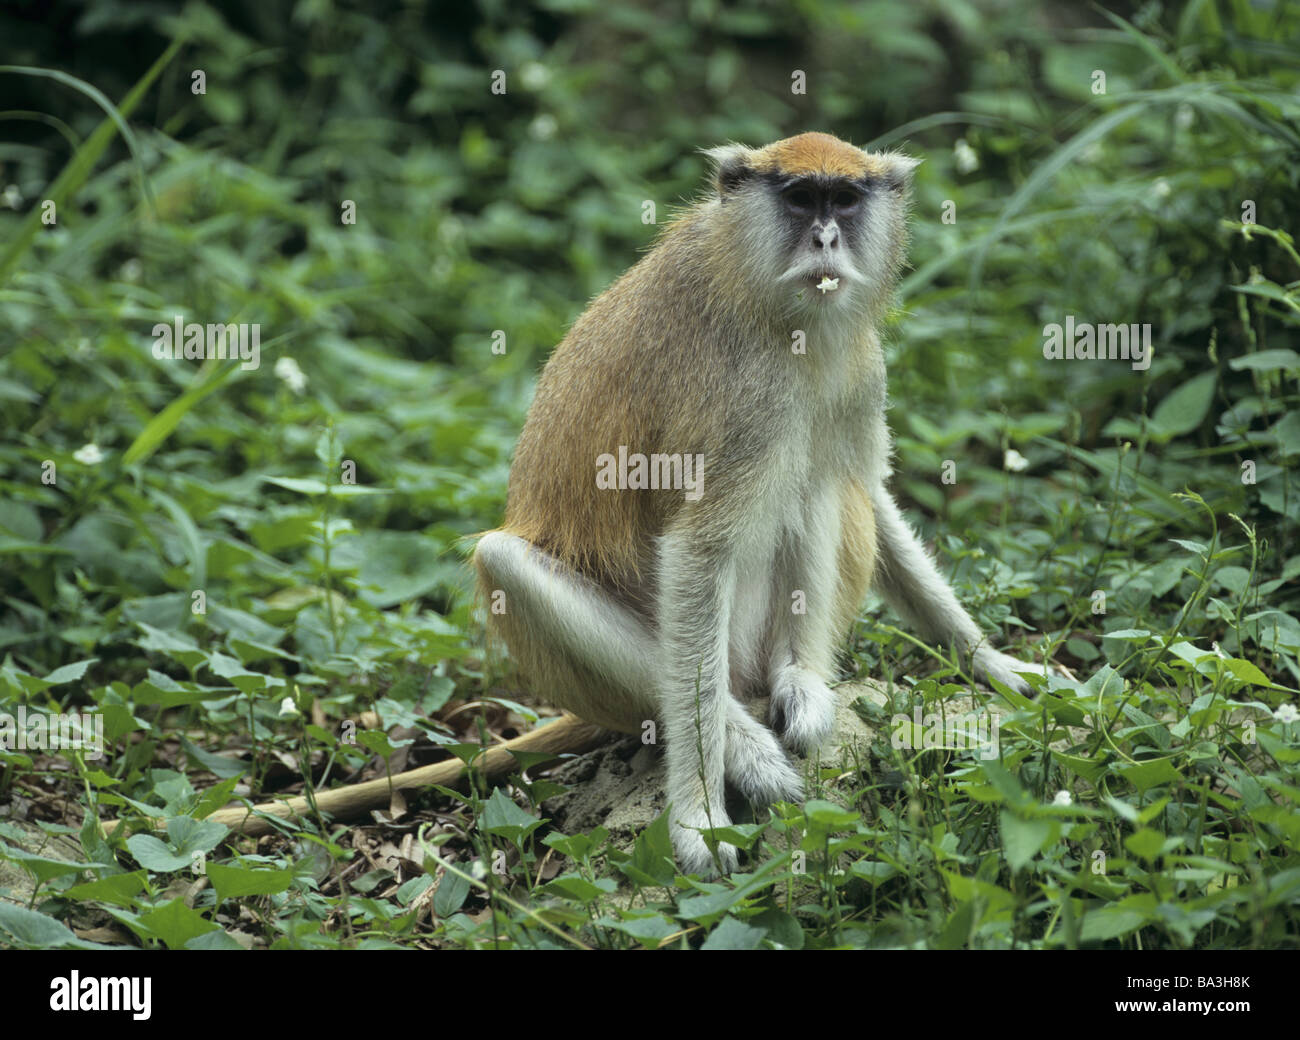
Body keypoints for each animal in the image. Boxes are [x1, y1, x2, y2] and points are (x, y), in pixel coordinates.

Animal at [474, 131, 1045, 877]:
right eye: (800, 198)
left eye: (844, 199)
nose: (827, 238)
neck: (757, 290)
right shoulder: (743, 397)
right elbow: (696, 554)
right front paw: (699, 818)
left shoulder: (859, 368)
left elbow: (868, 488)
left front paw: (995, 664)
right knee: (503, 560)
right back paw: (744, 744)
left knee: (823, 480)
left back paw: (798, 679)